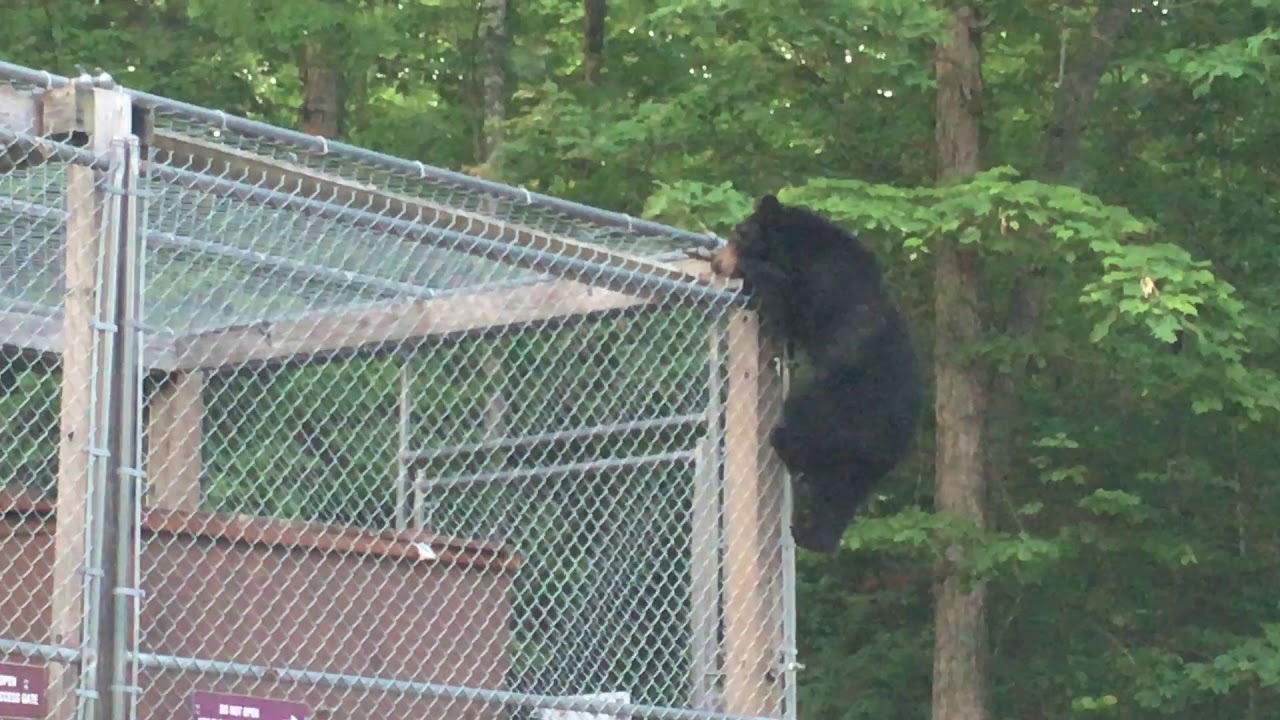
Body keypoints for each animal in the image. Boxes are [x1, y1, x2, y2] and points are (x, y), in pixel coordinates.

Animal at [710, 194, 923, 554]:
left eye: (739, 233)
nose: (715, 262)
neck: (802, 250)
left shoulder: (823, 285)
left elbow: (785, 299)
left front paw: (755, 271)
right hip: (858, 463)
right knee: (836, 499)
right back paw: (811, 533)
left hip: (836, 408)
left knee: (803, 420)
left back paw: (785, 445)